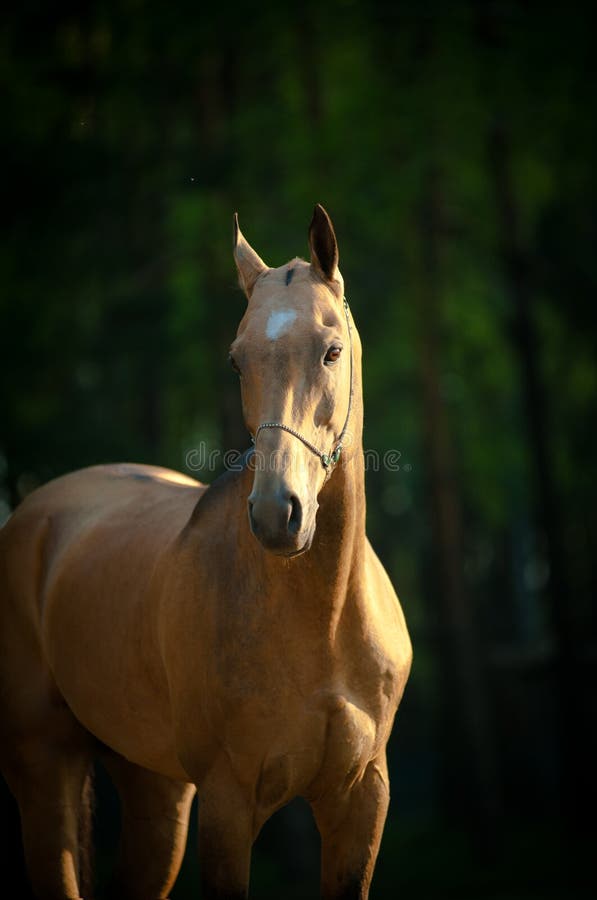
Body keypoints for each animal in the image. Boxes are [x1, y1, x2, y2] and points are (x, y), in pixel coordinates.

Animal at [0, 204, 412, 899]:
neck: (322, 622)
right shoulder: (227, 800)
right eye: (236, 362)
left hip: (155, 788)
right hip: (43, 764)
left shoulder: (362, 801)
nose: (276, 514)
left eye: (331, 351)